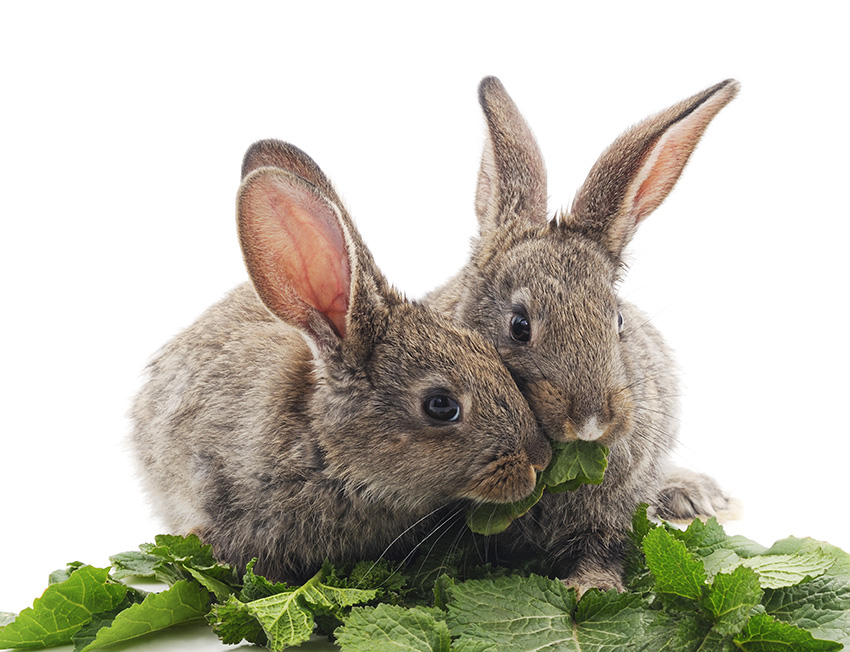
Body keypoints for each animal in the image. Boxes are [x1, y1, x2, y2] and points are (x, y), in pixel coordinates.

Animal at [425, 77, 740, 592]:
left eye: (617, 322)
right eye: (519, 326)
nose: (591, 422)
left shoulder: (610, 514)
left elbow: (601, 547)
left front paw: (590, 587)